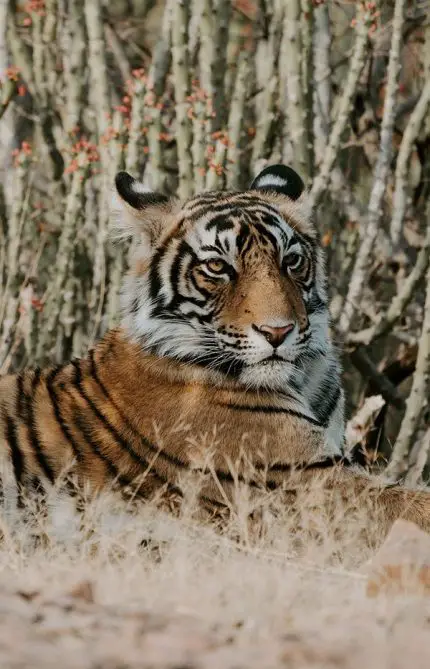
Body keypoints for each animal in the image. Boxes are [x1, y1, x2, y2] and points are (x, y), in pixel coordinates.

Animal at [1, 163, 429, 538]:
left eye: (291, 261)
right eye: (218, 267)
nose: (278, 331)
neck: (304, 380)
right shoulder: (306, 482)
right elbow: (413, 505)